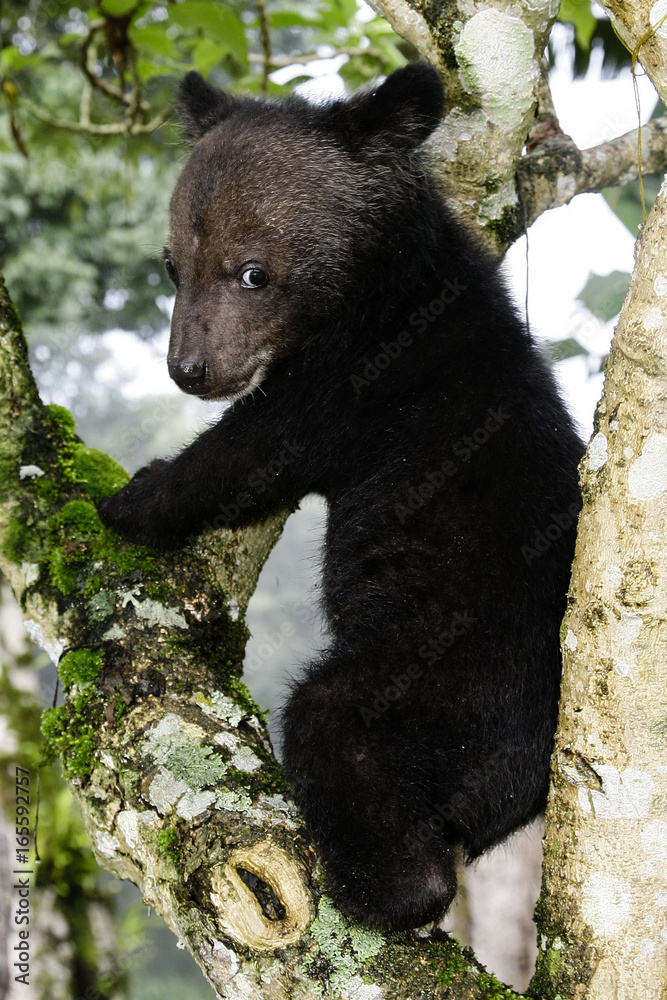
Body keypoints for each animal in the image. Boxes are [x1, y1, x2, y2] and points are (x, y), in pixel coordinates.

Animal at [98, 63, 583, 932]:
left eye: (252, 270)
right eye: (172, 265)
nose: (188, 368)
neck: (379, 282)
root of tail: (530, 774)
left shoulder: (348, 383)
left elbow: (243, 456)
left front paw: (133, 494)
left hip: (427, 683)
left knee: (334, 727)